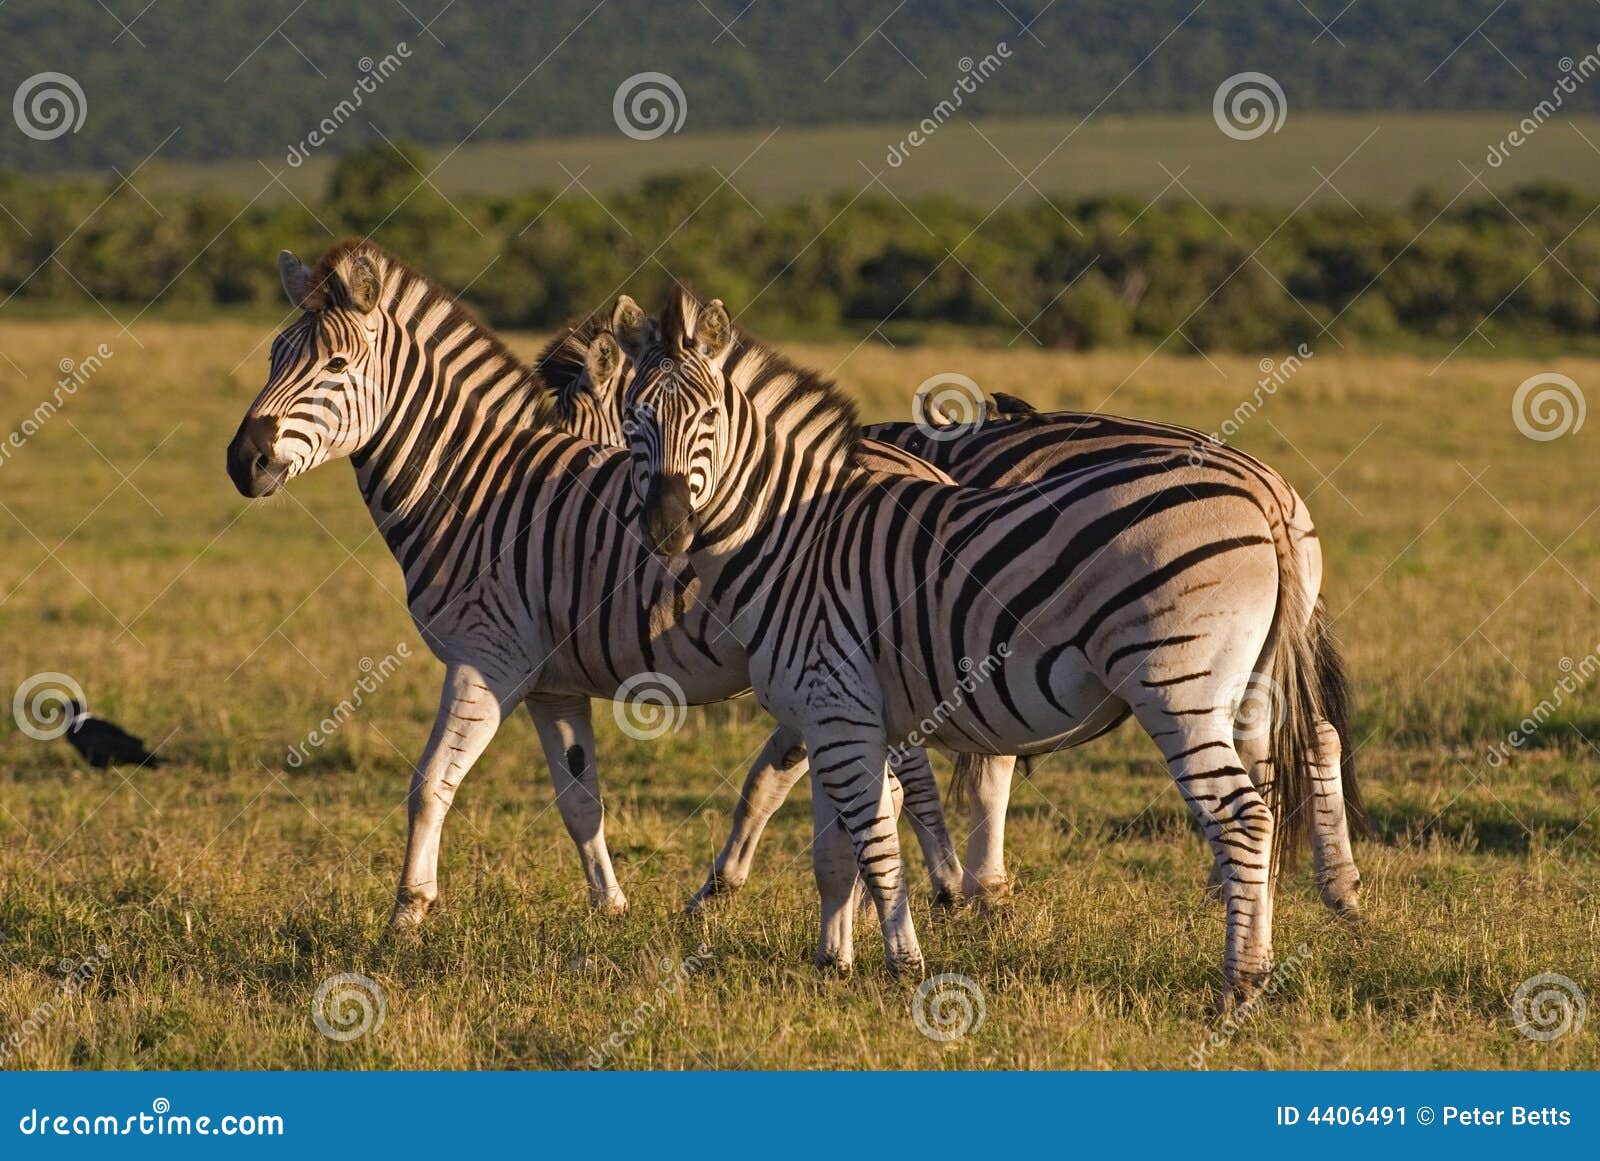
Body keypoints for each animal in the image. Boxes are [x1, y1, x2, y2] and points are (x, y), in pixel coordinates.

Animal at [225, 240, 972, 930]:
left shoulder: (487, 656)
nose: (242, 461)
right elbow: (580, 797)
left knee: (886, 787)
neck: (477, 489)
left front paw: (407, 913)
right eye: (273, 359)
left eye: (336, 366)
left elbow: (430, 781)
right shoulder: (551, 682)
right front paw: (609, 905)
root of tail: (927, 471)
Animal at [616, 287, 1358, 1007]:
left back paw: (1241, 983)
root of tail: (1265, 496)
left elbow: (876, 841)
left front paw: (907, 962)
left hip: (1179, 688)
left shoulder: (842, 702)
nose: (666, 529)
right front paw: (833, 962)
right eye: (634, 421)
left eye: (710, 419)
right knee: (1290, 770)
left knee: (1244, 817)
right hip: (1253, 686)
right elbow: (832, 848)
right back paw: (1291, 928)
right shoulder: (828, 711)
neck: (795, 536)